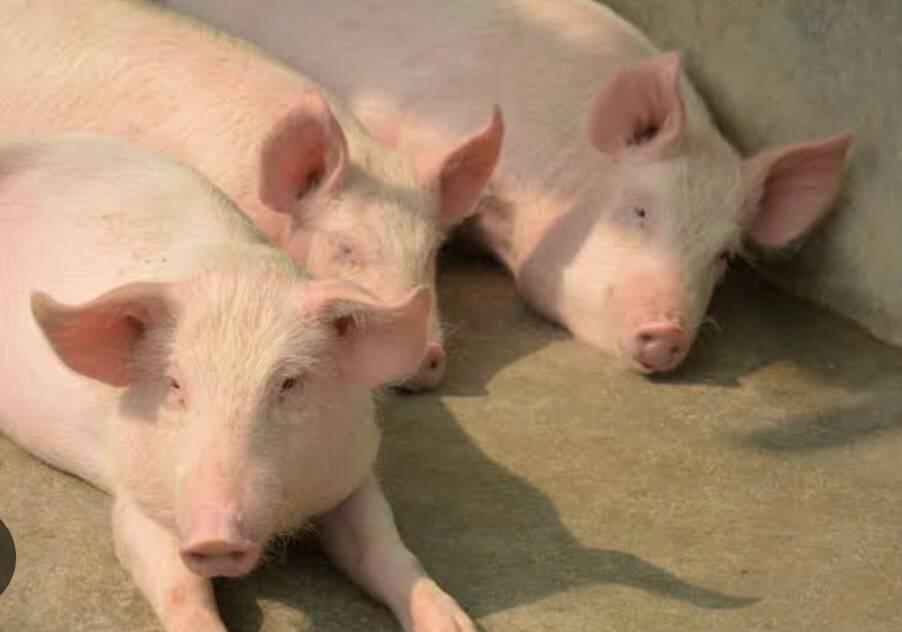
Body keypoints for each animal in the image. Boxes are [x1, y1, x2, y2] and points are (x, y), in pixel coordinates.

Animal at [0, 134, 475, 632]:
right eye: (174, 384)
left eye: (289, 383)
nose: (215, 538)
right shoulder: (135, 494)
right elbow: (176, 584)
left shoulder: (353, 469)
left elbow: (383, 548)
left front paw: (457, 624)